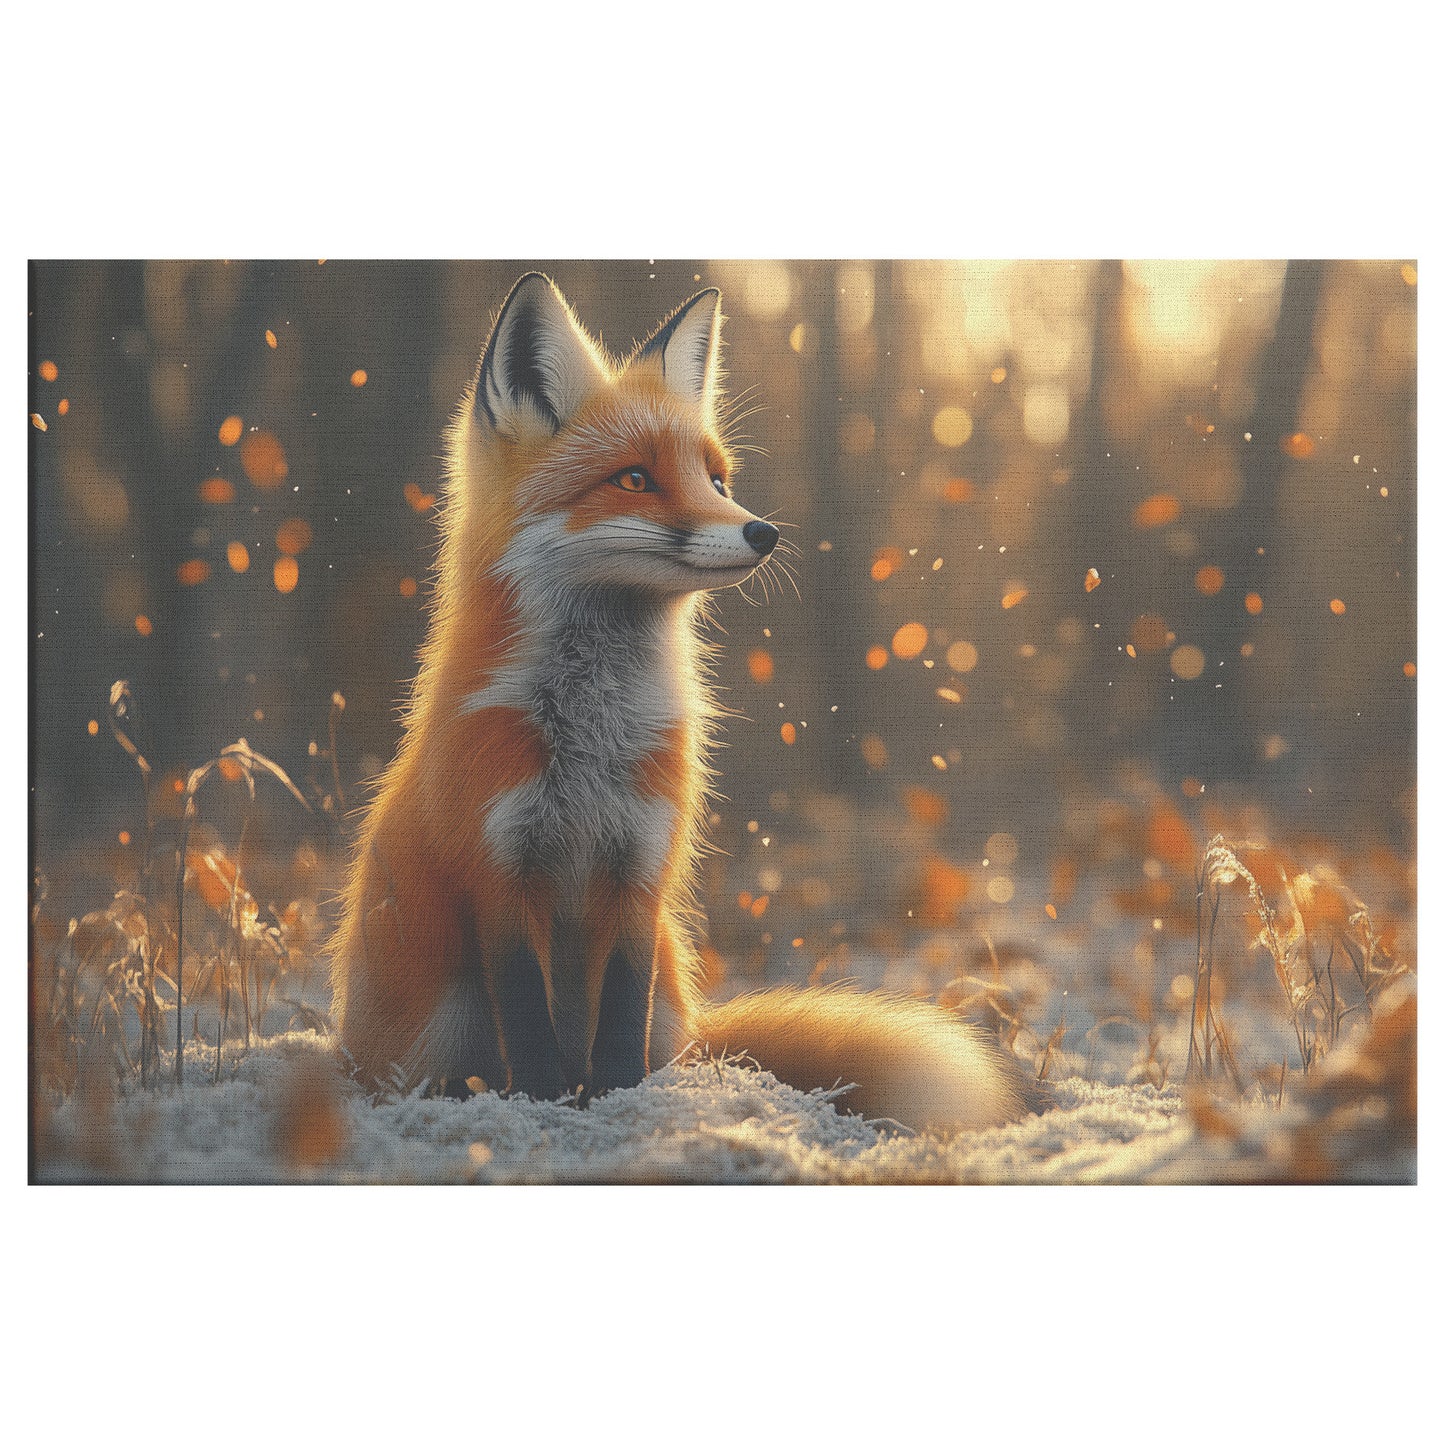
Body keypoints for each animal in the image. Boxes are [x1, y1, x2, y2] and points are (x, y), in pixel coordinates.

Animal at [330, 272, 1045, 1132]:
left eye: (717, 479)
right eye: (634, 478)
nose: (763, 532)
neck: (590, 737)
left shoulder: (642, 866)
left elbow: (618, 1020)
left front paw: (616, 1099)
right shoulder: (498, 870)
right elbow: (530, 1025)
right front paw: (546, 1105)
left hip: (666, 1005)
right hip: (440, 1019)